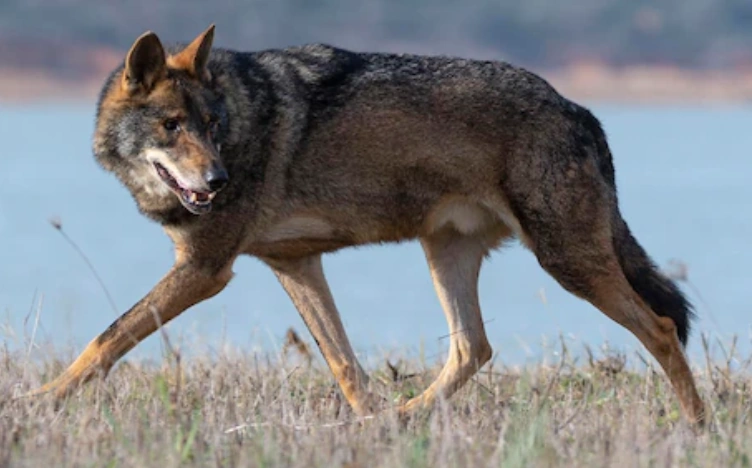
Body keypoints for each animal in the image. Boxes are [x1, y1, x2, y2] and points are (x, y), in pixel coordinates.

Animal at [30, 25, 705, 424]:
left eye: (212, 126)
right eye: (172, 126)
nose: (219, 181)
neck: (242, 117)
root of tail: (581, 109)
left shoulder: (205, 270)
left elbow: (107, 338)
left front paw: (37, 400)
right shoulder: (294, 263)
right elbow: (345, 364)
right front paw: (367, 424)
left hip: (567, 262)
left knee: (661, 327)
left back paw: (696, 426)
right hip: (447, 256)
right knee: (473, 348)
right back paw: (403, 416)